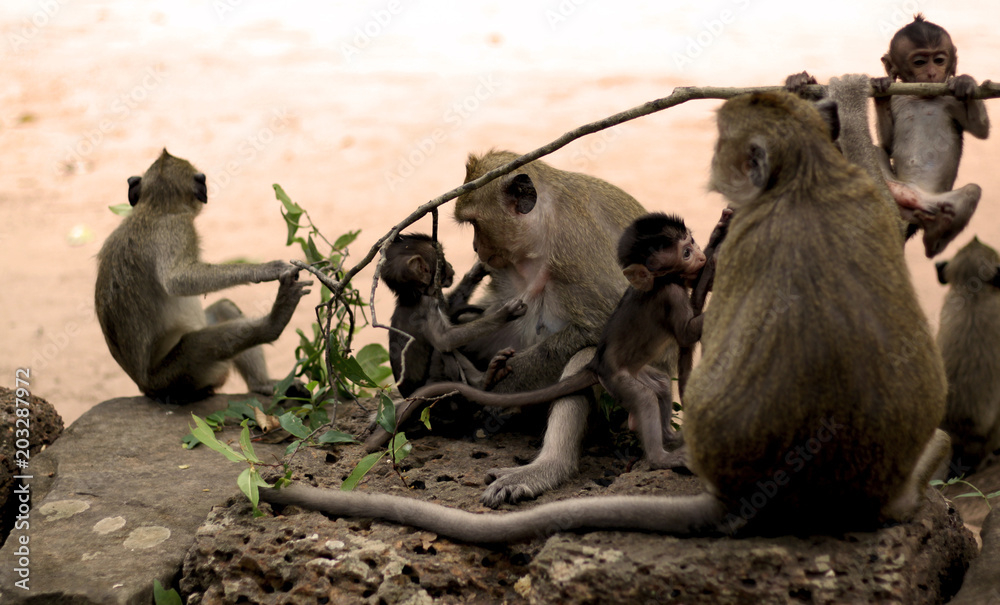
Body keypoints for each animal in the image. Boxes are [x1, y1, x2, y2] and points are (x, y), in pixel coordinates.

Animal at [95, 149, 312, 403]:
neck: (153, 208)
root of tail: (144, 385)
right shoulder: (178, 228)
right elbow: (176, 280)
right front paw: (263, 269)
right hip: (173, 378)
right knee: (197, 345)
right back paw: (273, 323)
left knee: (224, 309)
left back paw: (263, 384)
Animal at [380, 233, 526, 398]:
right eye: (442, 259)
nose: (450, 265)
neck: (412, 297)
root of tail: (408, 396)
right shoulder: (426, 305)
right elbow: (445, 340)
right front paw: (504, 314)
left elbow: (448, 309)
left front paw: (475, 273)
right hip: (435, 381)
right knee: (443, 351)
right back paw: (482, 380)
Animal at [872, 14, 990, 257]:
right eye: (919, 62)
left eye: (939, 60)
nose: (933, 73)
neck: (921, 97)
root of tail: (913, 193)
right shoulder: (898, 97)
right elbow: (886, 145)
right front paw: (881, 89)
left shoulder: (951, 99)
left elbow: (980, 130)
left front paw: (965, 81)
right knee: (876, 150)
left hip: (937, 202)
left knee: (971, 192)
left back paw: (935, 235)